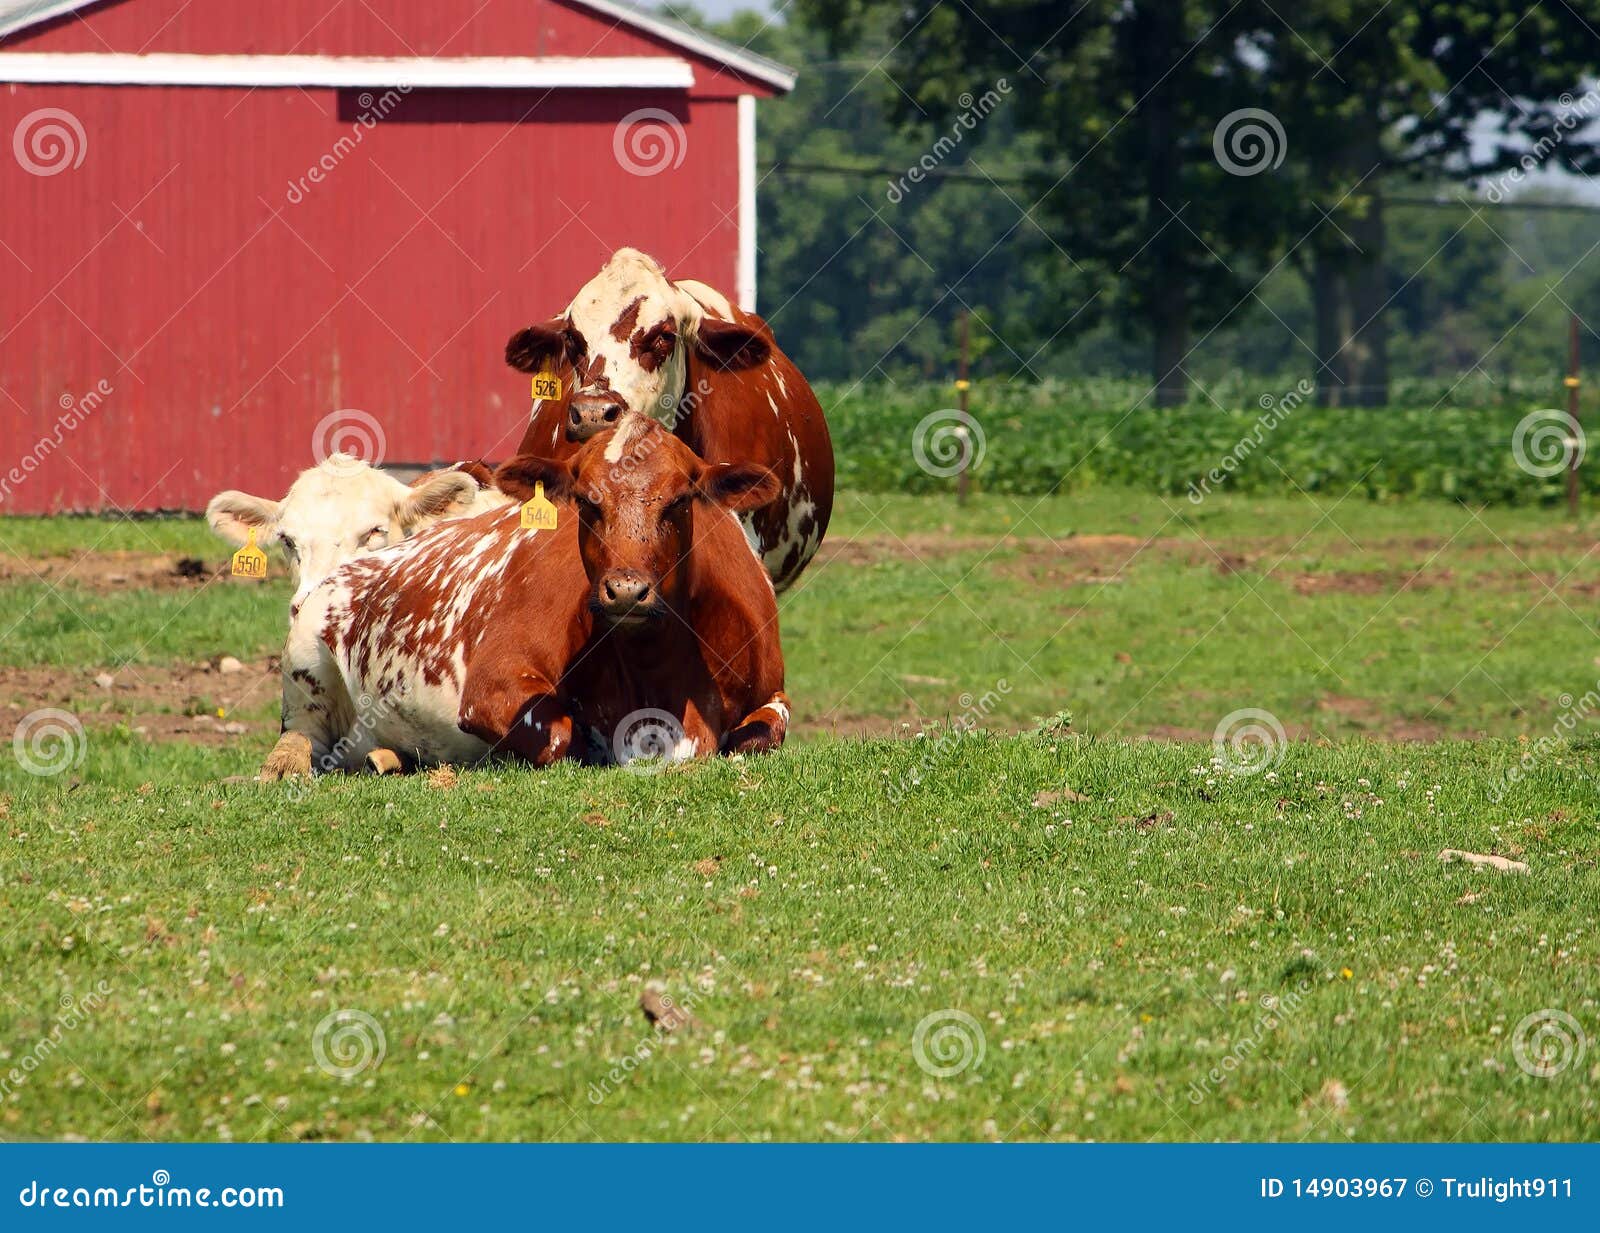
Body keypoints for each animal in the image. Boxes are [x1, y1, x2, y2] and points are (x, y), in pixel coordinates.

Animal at [260, 413, 789, 779]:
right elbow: (563, 739)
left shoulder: (773, 696)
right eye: (586, 502)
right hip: (305, 659)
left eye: (680, 500)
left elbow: (761, 734)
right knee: (301, 736)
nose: (626, 590)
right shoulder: (492, 686)